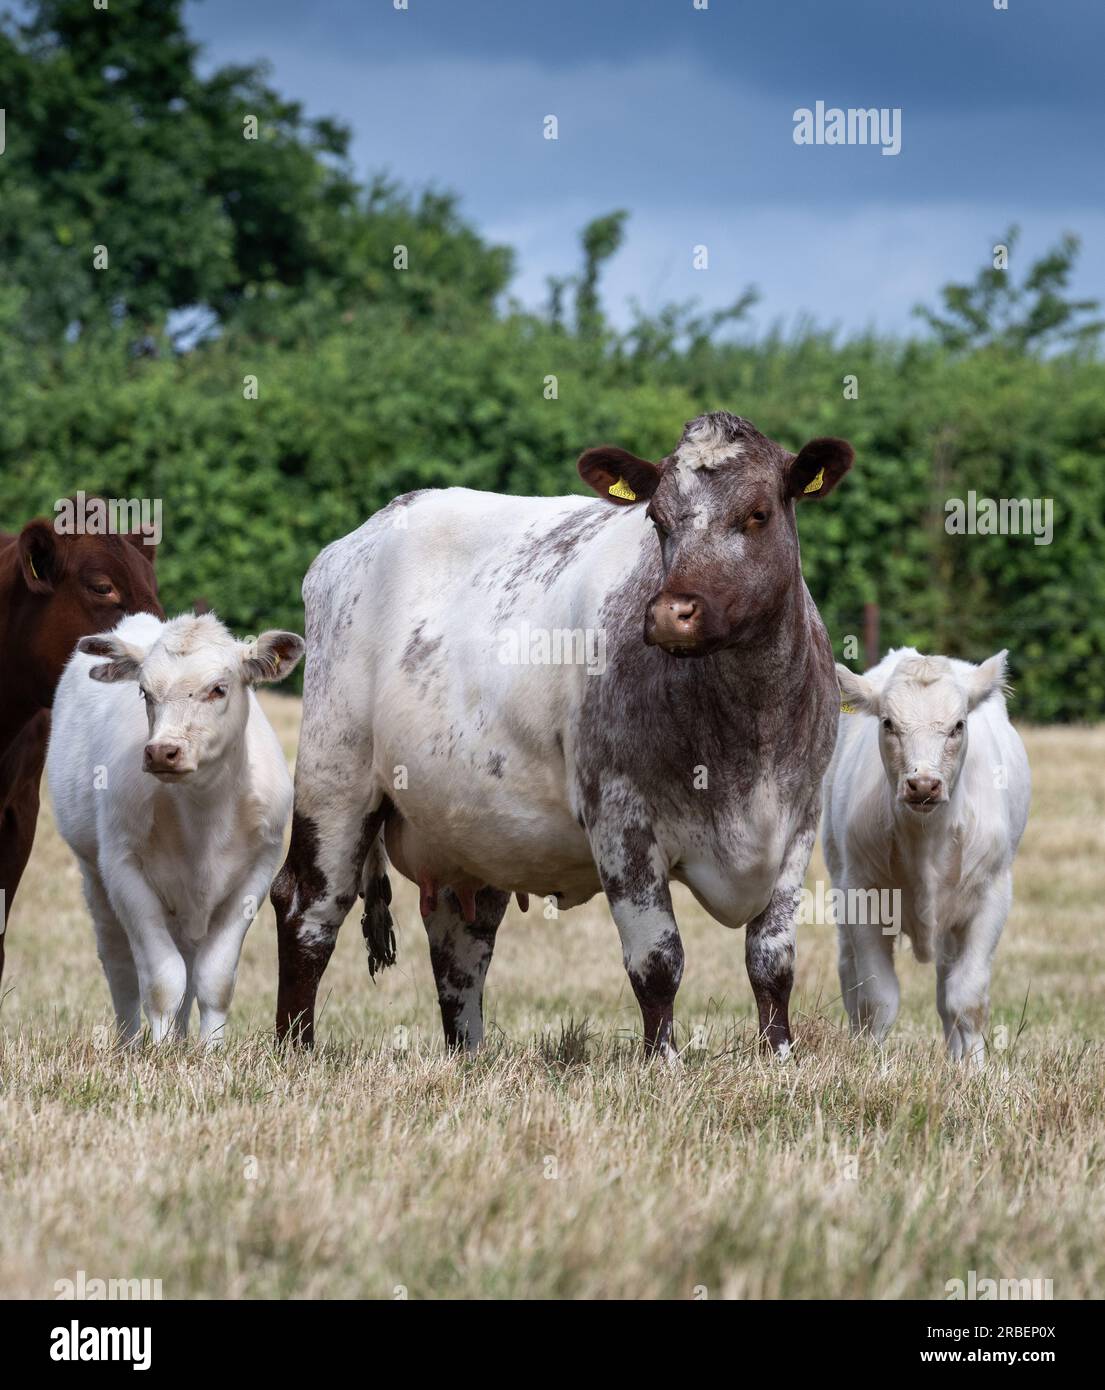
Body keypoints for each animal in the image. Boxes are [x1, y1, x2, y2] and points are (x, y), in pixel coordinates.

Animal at [46, 611, 304, 1044]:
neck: (202, 818)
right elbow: (164, 980)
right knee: (120, 966)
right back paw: (131, 1042)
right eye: (144, 692)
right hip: (94, 875)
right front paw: (159, 1050)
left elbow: (214, 979)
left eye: (218, 689)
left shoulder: (256, 873)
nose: (162, 751)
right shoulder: (123, 868)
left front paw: (209, 1050)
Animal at [270, 411, 855, 1058]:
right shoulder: (621, 820)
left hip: (468, 828)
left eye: (758, 513)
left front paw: (780, 1056)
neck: (747, 727)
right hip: (334, 777)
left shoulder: (797, 821)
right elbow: (658, 960)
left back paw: (468, 1056)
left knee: (460, 944)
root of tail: (365, 533)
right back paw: (294, 1048)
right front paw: (664, 1063)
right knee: (309, 907)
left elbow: (771, 962)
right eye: (657, 519)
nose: (671, 612)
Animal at [824, 648, 1031, 1063]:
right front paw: (871, 1064)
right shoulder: (860, 893)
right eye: (888, 723)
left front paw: (974, 1069)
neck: (925, 840)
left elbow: (966, 998)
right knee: (849, 972)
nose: (923, 784)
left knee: (946, 988)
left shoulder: (991, 896)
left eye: (958, 725)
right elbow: (877, 998)